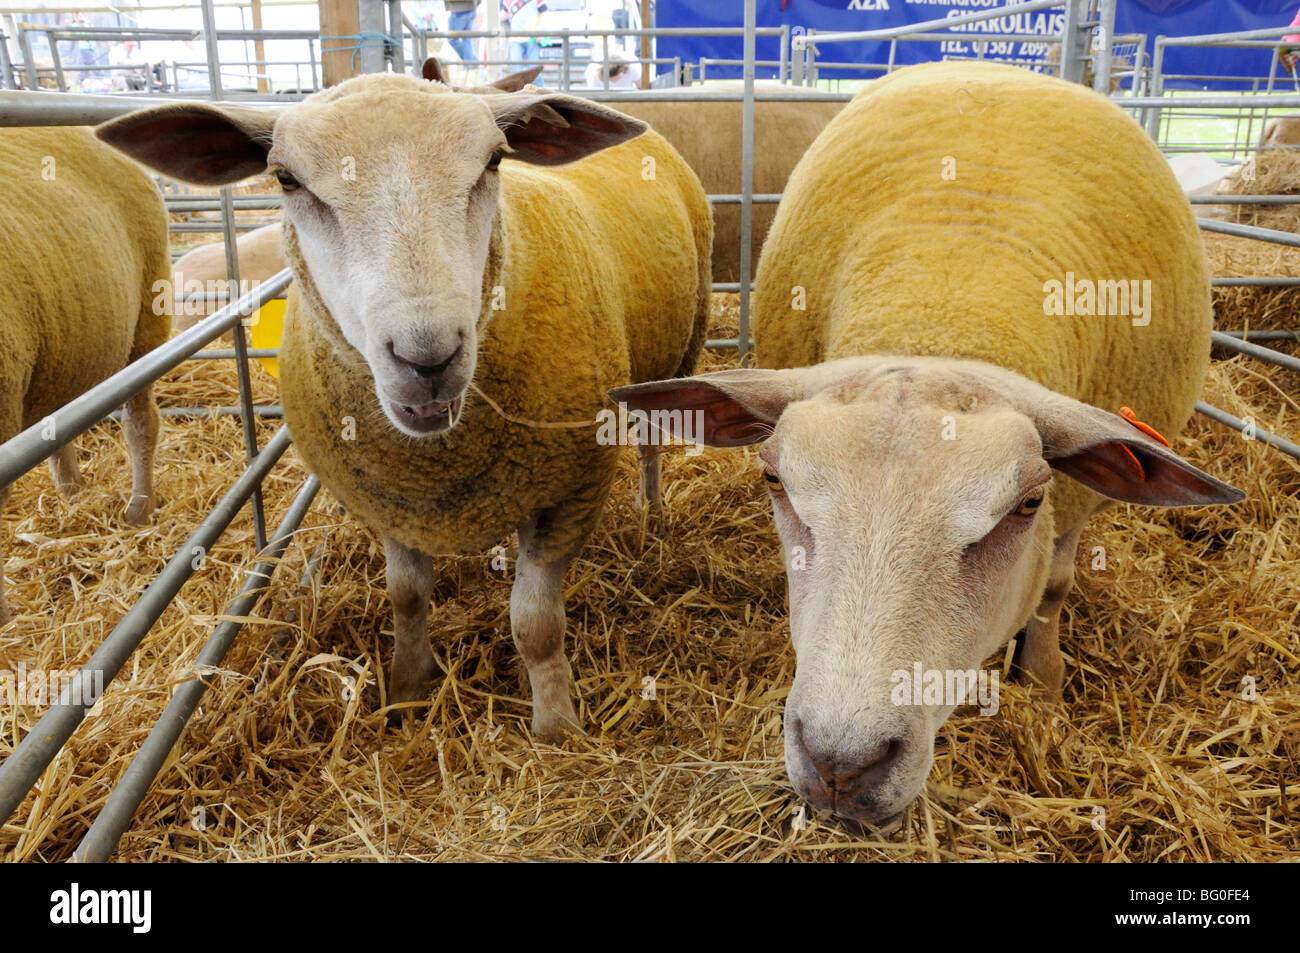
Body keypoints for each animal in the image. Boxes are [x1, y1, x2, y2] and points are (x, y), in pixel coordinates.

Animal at [97, 72, 712, 739]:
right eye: (286, 179)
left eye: (494, 162)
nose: (428, 358)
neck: (436, 456)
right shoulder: (389, 500)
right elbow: (407, 595)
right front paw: (408, 689)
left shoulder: (571, 490)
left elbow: (535, 624)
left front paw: (556, 729)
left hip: (679, 350)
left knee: (651, 439)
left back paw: (652, 511)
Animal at [612, 61, 1244, 828]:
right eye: (773, 480)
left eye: (1028, 504)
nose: (840, 764)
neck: (947, 302)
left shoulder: (1077, 506)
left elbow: (1055, 583)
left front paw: (1043, 681)